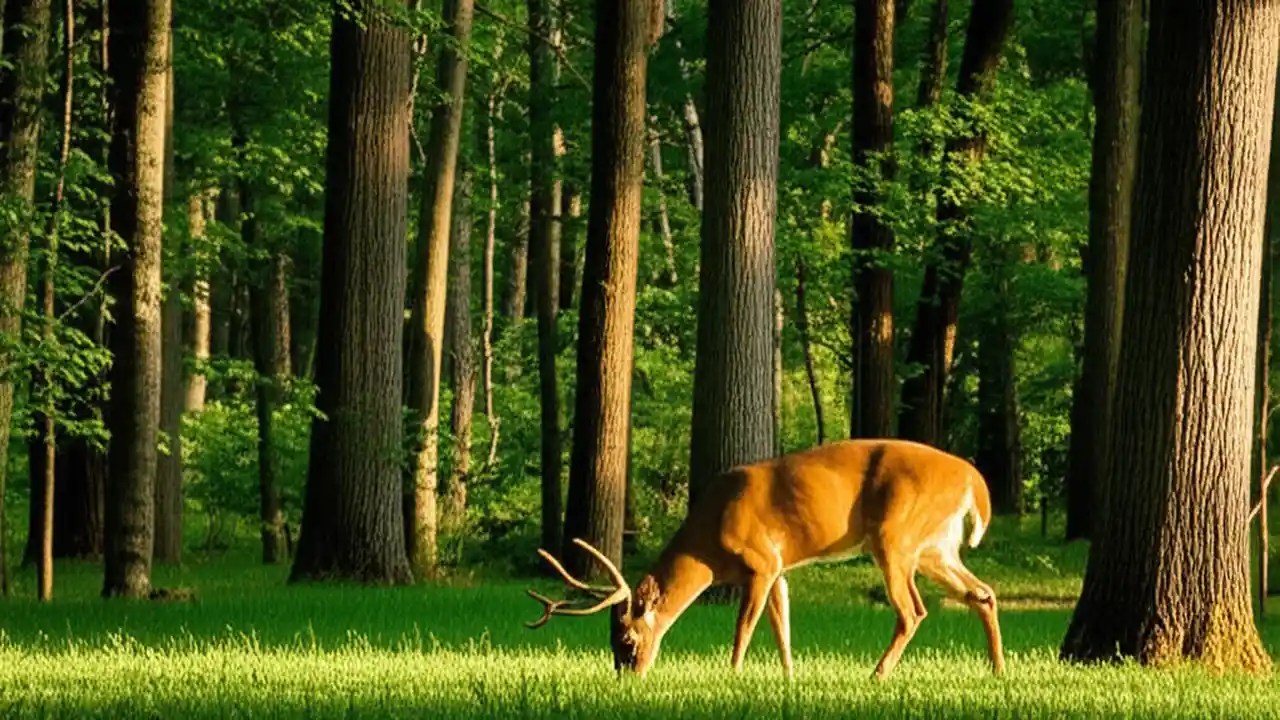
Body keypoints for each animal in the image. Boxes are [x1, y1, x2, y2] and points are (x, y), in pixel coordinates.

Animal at [524, 438, 1005, 680]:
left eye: (626, 639)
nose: (627, 677)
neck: (707, 545)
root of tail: (974, 481)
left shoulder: (761, 561)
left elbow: (744, 627)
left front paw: (732, 676)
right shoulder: (780, 571)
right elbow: (782, 629)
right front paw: (789, 680)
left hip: (896, 537)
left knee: (913, 610)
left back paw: (876, 675)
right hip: (935, 546)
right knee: (983, 593)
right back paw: (996, 671)